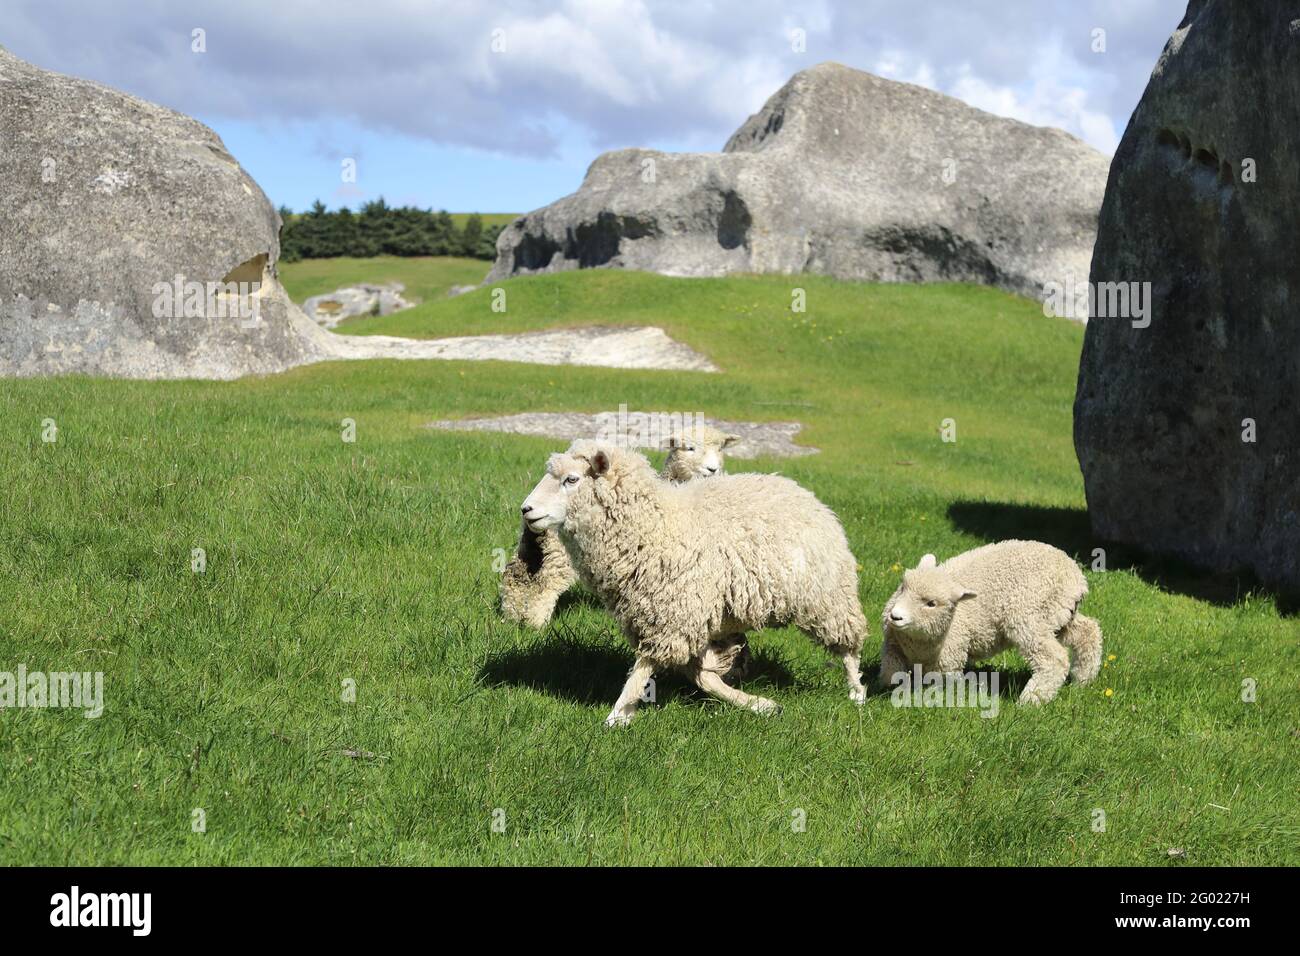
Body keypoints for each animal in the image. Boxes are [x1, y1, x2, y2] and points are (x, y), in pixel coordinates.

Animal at [498, 425, 738, 631]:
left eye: (720, 449)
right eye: (689, 448)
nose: (713, 469)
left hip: (531, 544)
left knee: (515, 574)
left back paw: (511, 617)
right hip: (558, 554)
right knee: (547, 582)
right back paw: (536, 624)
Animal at [520, 440, 867, 725]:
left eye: (572, 479)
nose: (526, 509)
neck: (653, 525)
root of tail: (803, 493)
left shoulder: (672, 614)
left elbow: (644, 667)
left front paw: (617, 715)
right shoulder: (672, 614)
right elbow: (699, 676)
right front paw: (761, 705)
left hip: (827, 597)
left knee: (849, 647)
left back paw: (857, 692)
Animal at [878, 540, 1103, 705]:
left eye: (931, 603)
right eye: (903, 587)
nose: (895, 616)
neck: (918, 645)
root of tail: (1075, 575)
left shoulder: (950, 657)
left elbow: (941, 684)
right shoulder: (892, 644)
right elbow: (891, 671)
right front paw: (892, 686)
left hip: (1030, 615)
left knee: (1054, 658)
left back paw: (1032, 699)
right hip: (1059, 613)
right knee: (1088, 632)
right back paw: (1083, 679)